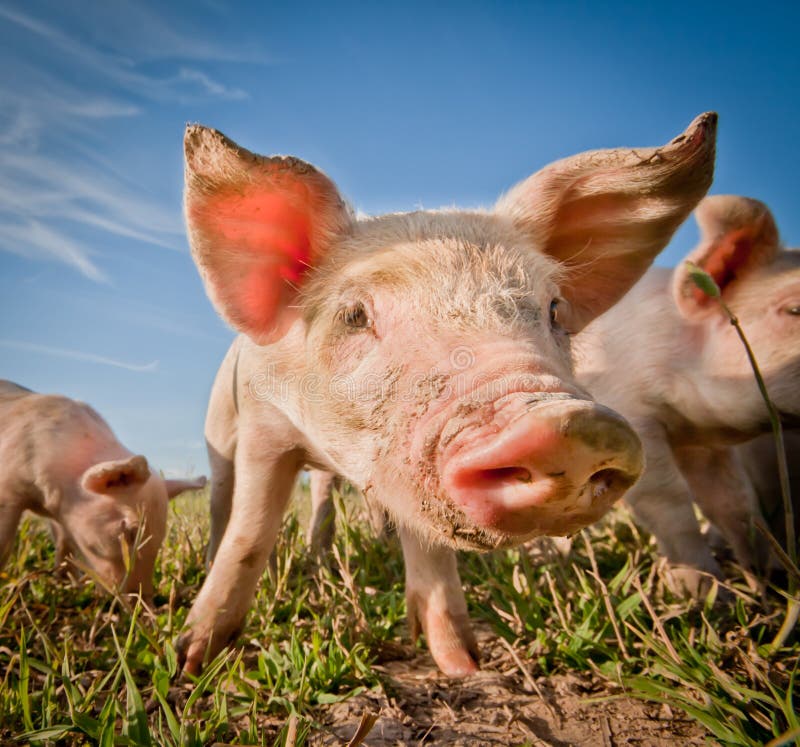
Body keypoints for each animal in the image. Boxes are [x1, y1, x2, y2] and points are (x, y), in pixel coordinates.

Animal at [0, 380, 206, 596]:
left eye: (161, 534)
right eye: (130, 532)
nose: (142, 599)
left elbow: (64, 544)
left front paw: (70, 584)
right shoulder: (9, 489)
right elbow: (4, 543)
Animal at [178, 113, 716, 676]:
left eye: (553, 309)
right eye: (354, 315)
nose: (566, 426)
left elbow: (428, 544)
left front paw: (462, 663)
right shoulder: (262, 426)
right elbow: (250, 531)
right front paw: (193, 658)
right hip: (219, 433)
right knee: (223, 501)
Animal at [575, 195, 800, 595]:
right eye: (794, 309)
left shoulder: (702, 444)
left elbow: (734, 501)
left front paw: (763, 581)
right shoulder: (629, 412)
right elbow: (669, 498)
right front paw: (702, 593)